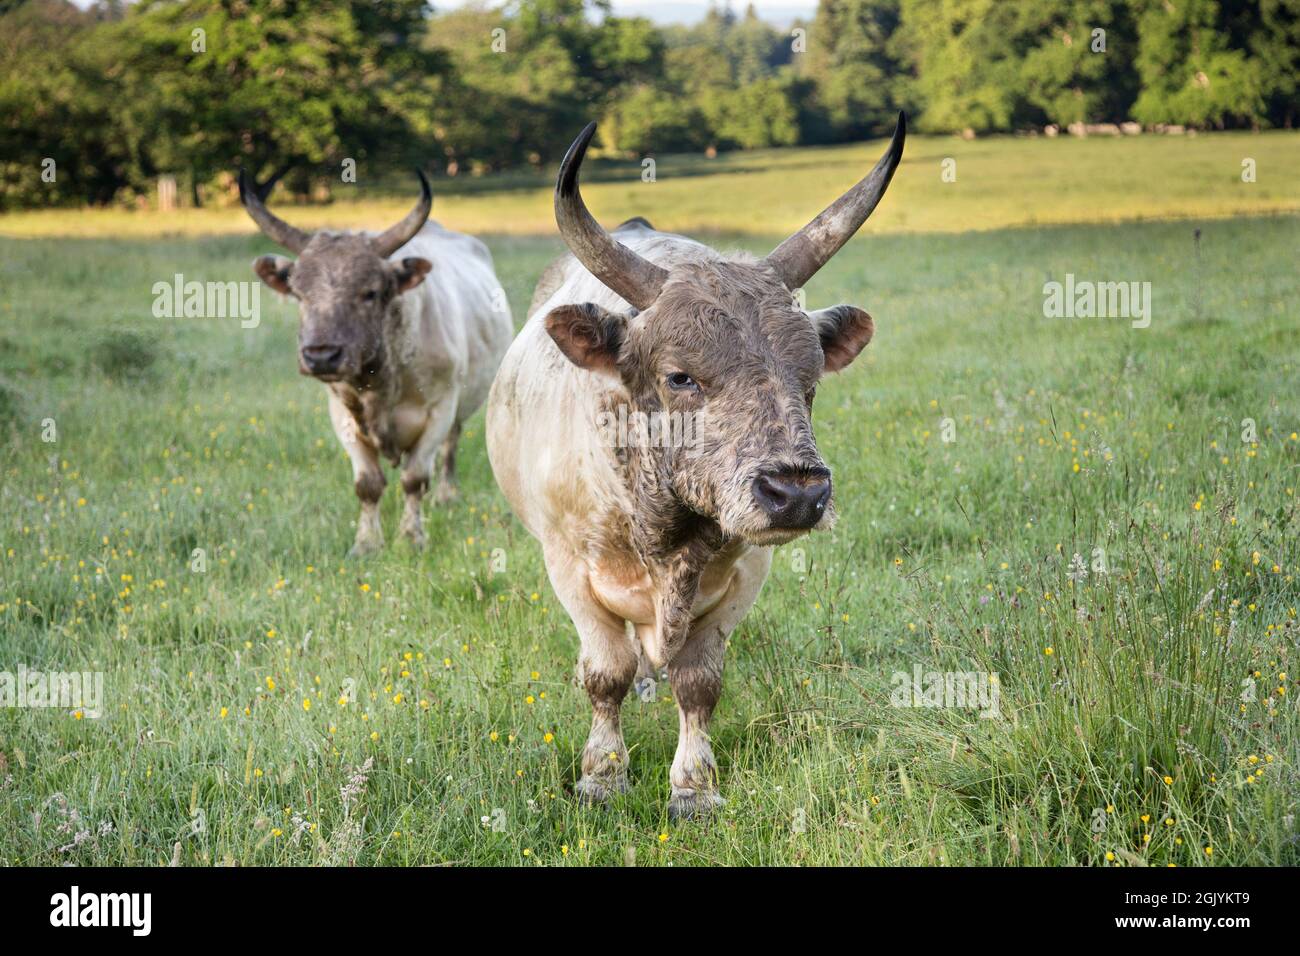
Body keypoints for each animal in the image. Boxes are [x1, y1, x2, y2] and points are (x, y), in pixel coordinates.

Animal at [241, 172, 513, 555]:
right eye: (299, 293)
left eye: (369, 292)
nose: (320, 355)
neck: (381, 382)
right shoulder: (342, 415)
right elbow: (367, 484)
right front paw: (367, 542)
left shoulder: (440, 408)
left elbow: (415, 478)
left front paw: (411, 537)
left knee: (450, 446)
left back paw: (446, 495)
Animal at [487, 114, 905, 818]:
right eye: (680, 376)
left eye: (811, 379)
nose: (797, 492)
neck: (664, 535)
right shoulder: (567, 566)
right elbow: (604, 674)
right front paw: (603, 776)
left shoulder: (747, 572)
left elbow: (700, 682)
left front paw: (694, 786)